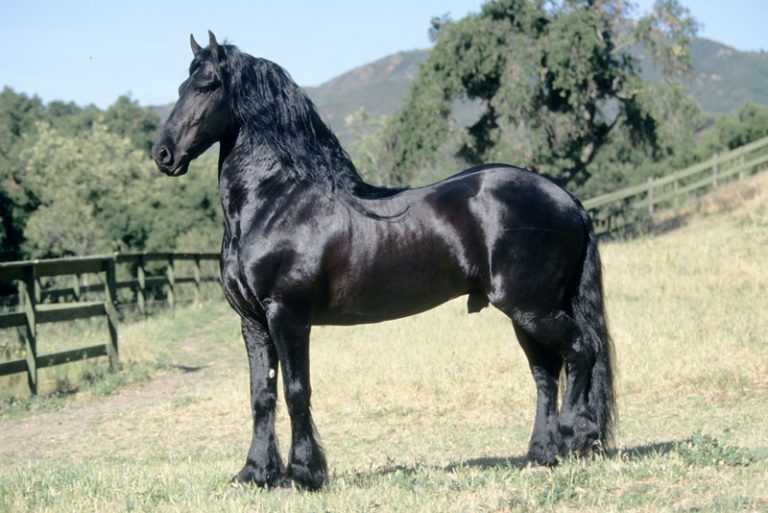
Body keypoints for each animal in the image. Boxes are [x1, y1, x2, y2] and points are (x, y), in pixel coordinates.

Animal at [152, 31, 615, 491]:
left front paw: (303, 474)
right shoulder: (252, 322)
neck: (279, 202)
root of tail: (566, 199)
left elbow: (296, 391)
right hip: (526, 313)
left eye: (207, 85)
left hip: (533, 308)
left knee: (581, 351)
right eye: (181, 86)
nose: (163, 153)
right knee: (545, 373)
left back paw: (576, 436)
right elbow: (260, 395)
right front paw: (255, 472)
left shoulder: (287, 316)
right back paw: (540, 454)